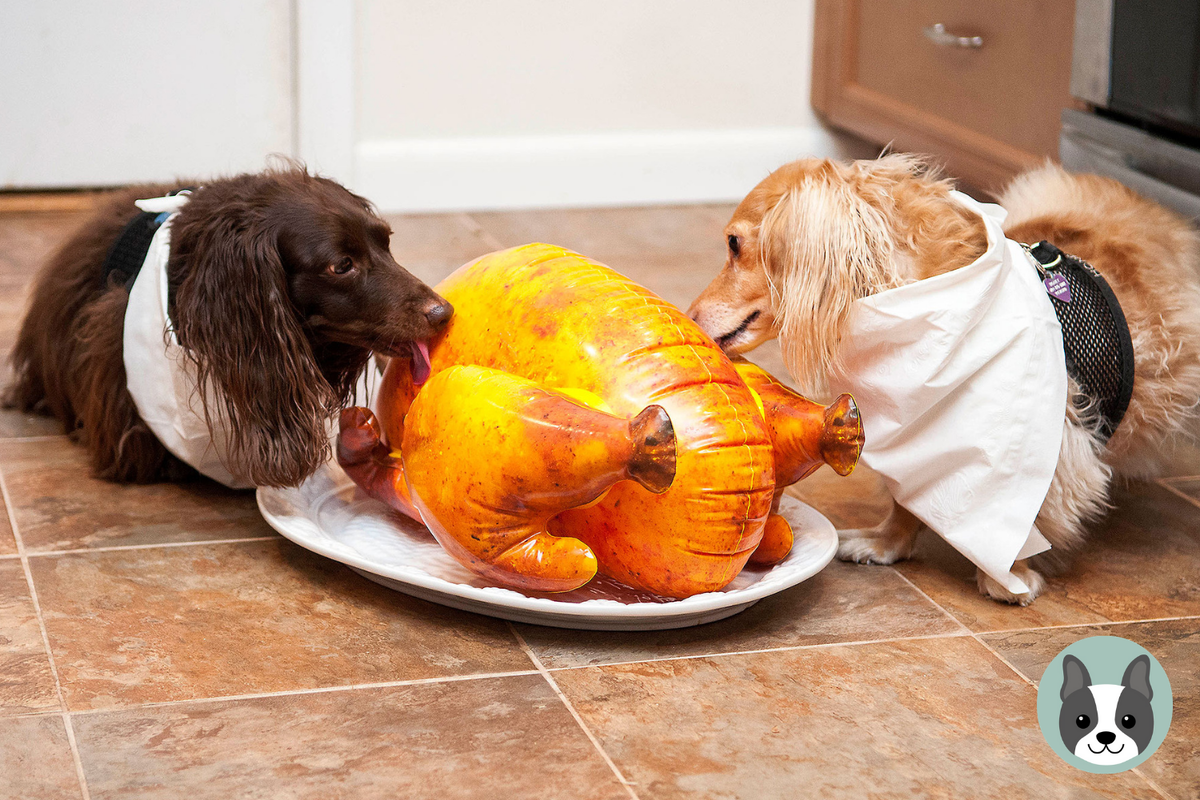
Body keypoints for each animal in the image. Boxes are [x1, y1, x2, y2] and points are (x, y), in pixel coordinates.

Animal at [691, 155, 1200, 604]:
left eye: (734, 244)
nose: (691, 318)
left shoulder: (1040, 437)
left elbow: (1015, 505)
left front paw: (1009, 575)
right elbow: (908, 493)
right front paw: (886, 543)